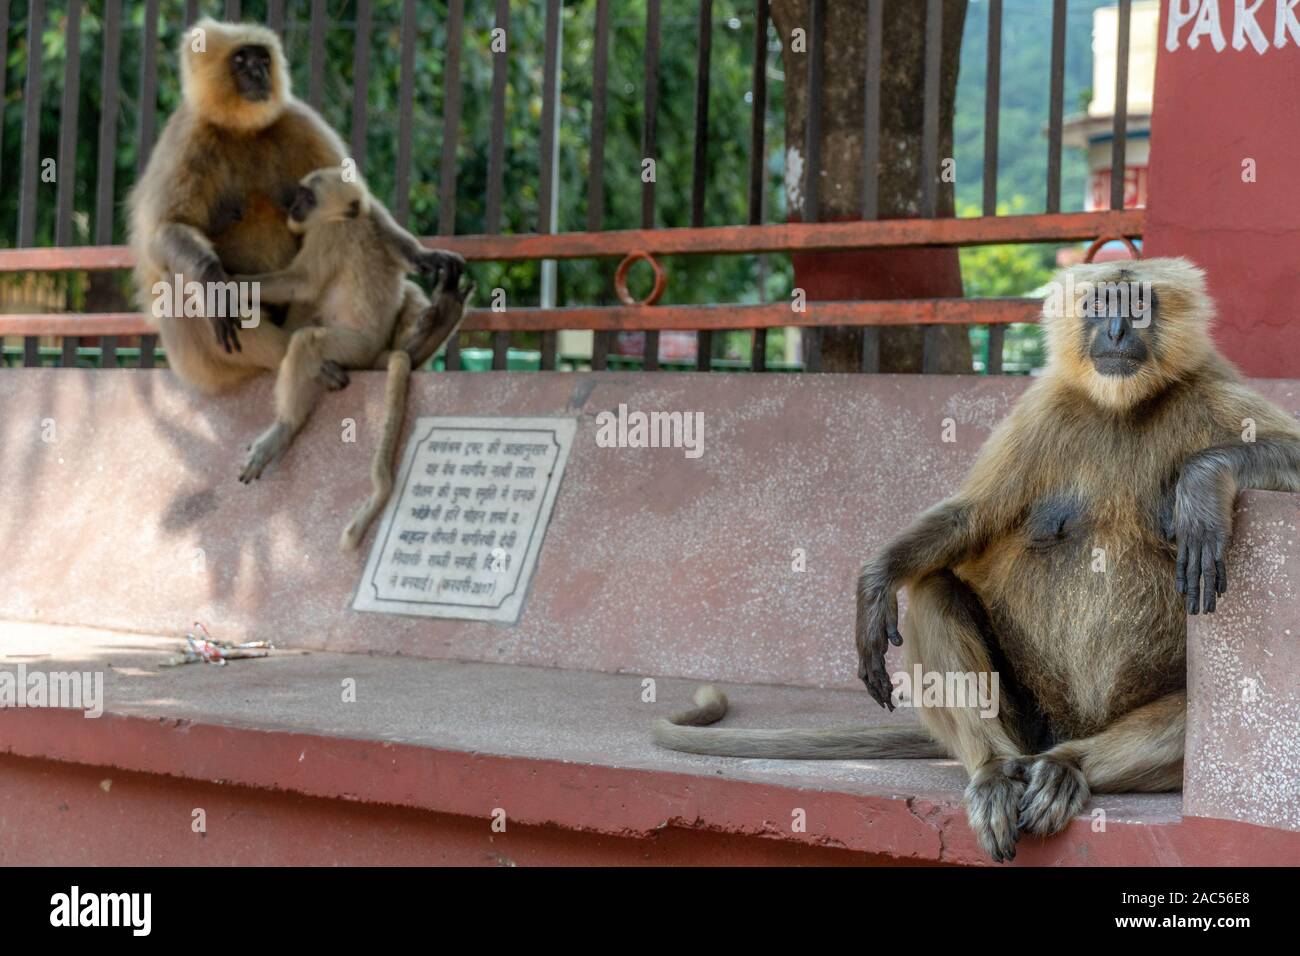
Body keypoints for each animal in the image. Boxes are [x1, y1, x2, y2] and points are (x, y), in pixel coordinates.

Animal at [127, 18, 462, 395]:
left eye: (262, 58)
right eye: (241, 60)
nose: (258, 72)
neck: (242, 130)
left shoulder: (296, 119)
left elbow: (363, 203)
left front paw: (424, 256)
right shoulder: (186, 136)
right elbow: (166, 231)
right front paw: (214, 278)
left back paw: (420, 340)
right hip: (201, 365)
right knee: (177, 280)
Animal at [653, 257, 1300, 862]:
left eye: (1138, 307)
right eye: (1100, 306)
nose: (1116, 329)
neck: (1121, 409)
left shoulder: (1208, 386)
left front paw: (1203, 483)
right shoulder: (1042, 408)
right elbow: (969, 520)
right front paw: (876, 581)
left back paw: (1065, 766)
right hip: (1024, 717)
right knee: (931, 592)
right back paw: (994, 771)